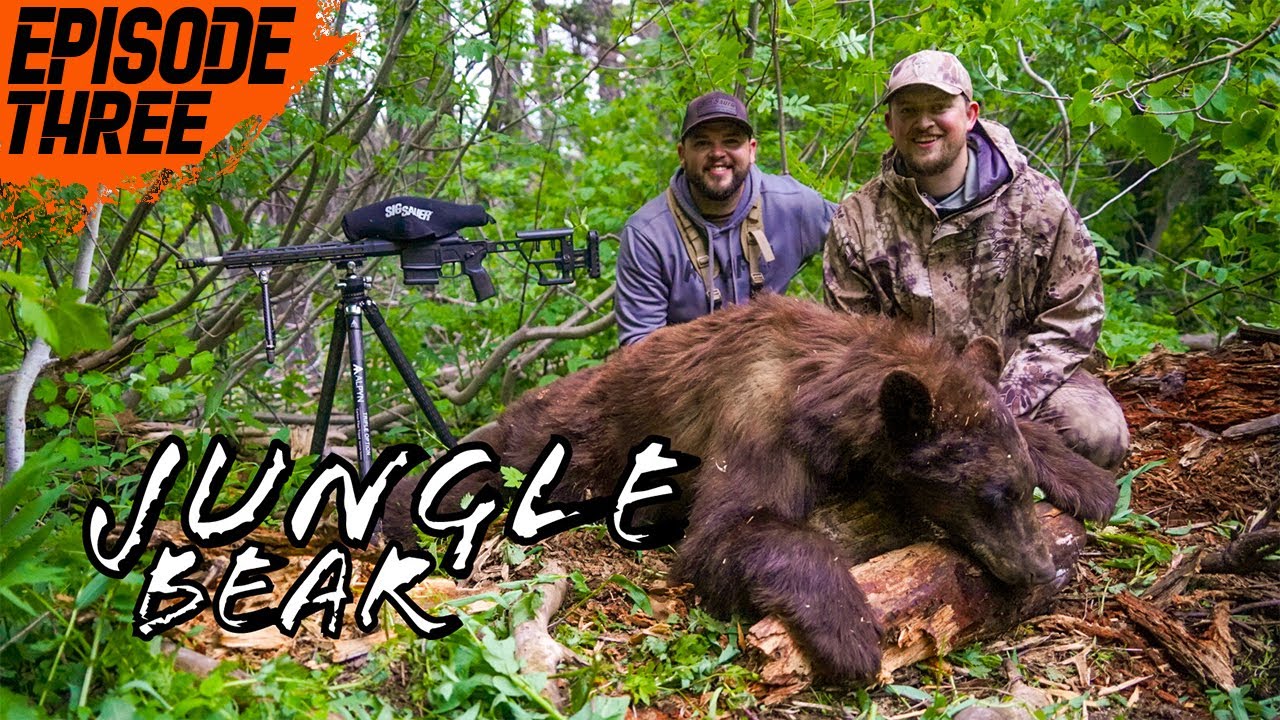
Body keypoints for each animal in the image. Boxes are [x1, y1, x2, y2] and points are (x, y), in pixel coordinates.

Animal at [383, 293, 1119, 682]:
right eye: (990, 496)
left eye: (1017, 486)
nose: (1043, 569)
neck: (822, 389)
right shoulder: (754, 420)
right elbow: (730, 531)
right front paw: (850, 631)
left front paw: (1086, 478)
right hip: (551, 439)